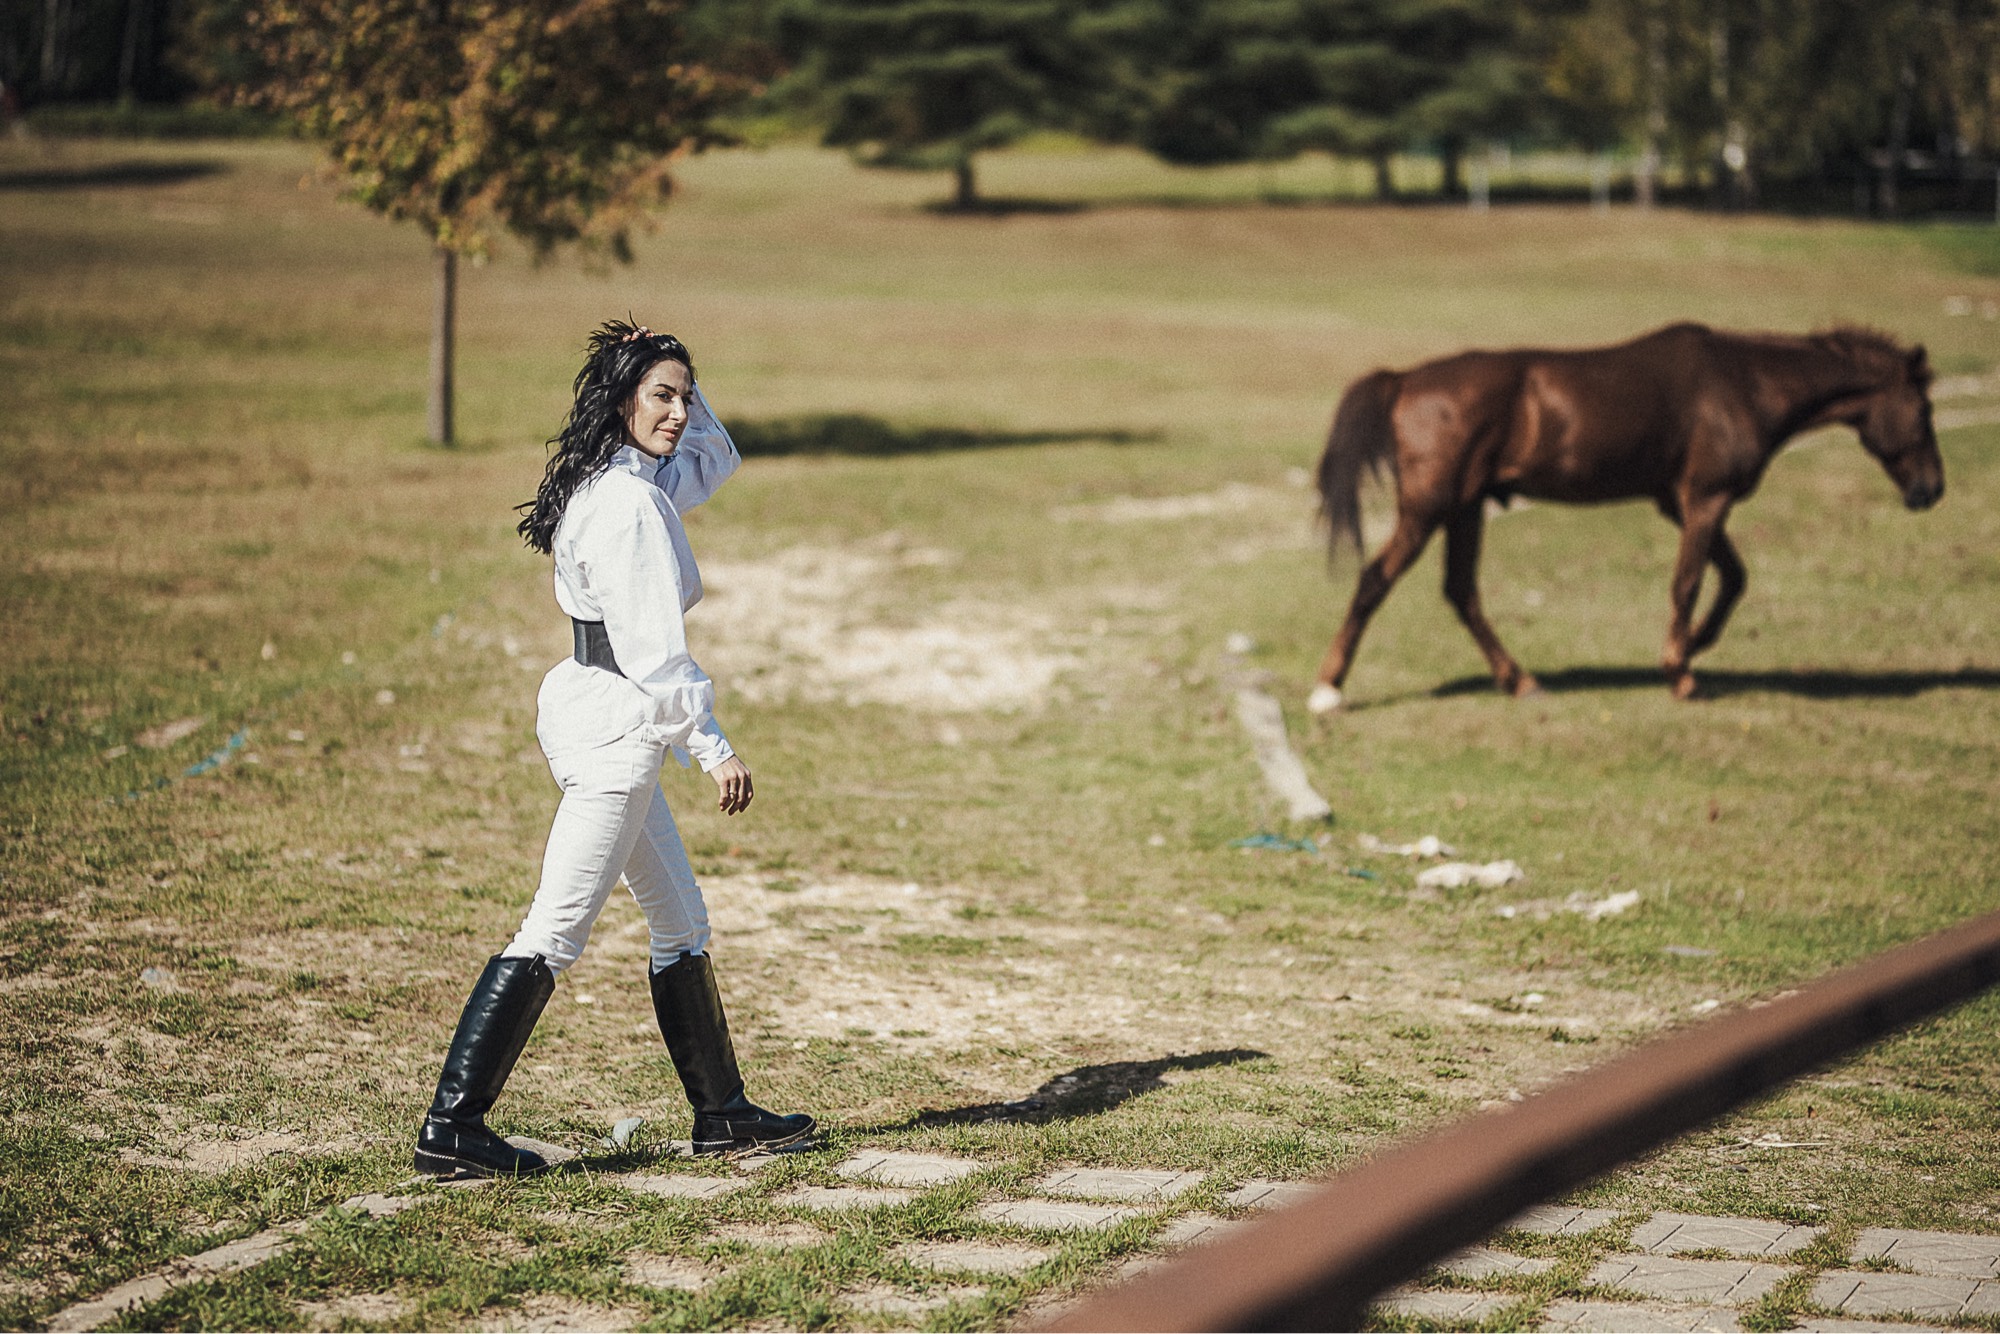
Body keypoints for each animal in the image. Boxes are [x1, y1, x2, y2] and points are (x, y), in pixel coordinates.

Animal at [1304, 322, 1944, 708]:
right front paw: (1680, 670)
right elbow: (1690, 583)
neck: (1742, 384)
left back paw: (1521, 681)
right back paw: (1329, 687)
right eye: (1923, 410)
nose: (1931, 490)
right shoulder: (1705, 500)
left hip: (1465, 509)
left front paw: (1696, 645)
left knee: (1461, 593)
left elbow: (1732, 579)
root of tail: (1405, 379)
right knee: (1376, 579)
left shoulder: (1679, 503)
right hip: (1430, 510)